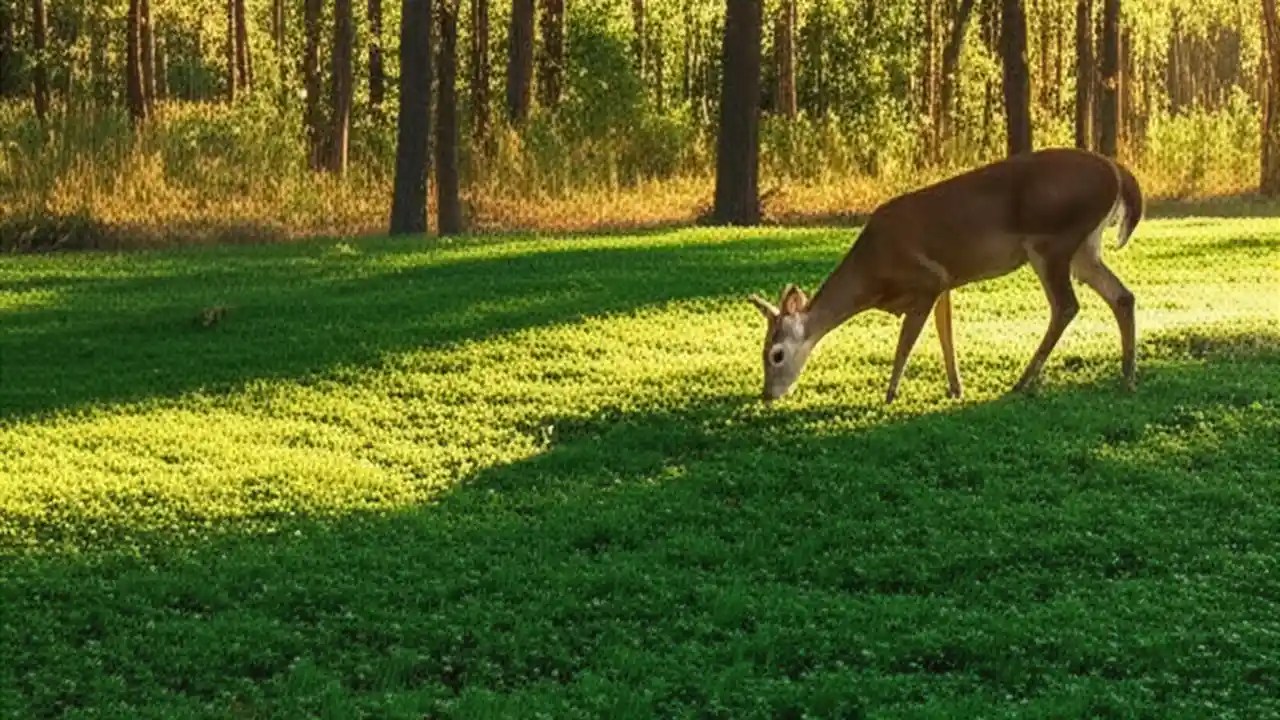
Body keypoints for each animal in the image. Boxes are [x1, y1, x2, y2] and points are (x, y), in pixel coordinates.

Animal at [749, 147, 1144, 404]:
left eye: (776, 354)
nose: (768, 394)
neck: (873, 276)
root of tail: (1118, 172)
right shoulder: (946, 282)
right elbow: (945, 333)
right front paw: (956, 388)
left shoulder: (928, 278)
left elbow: (907, 340)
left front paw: (890, 393)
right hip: (1084, 248)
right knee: (1122, 296)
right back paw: (1127, 376)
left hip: (1053, 240)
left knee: (1066, 306)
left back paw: (1023, 382)